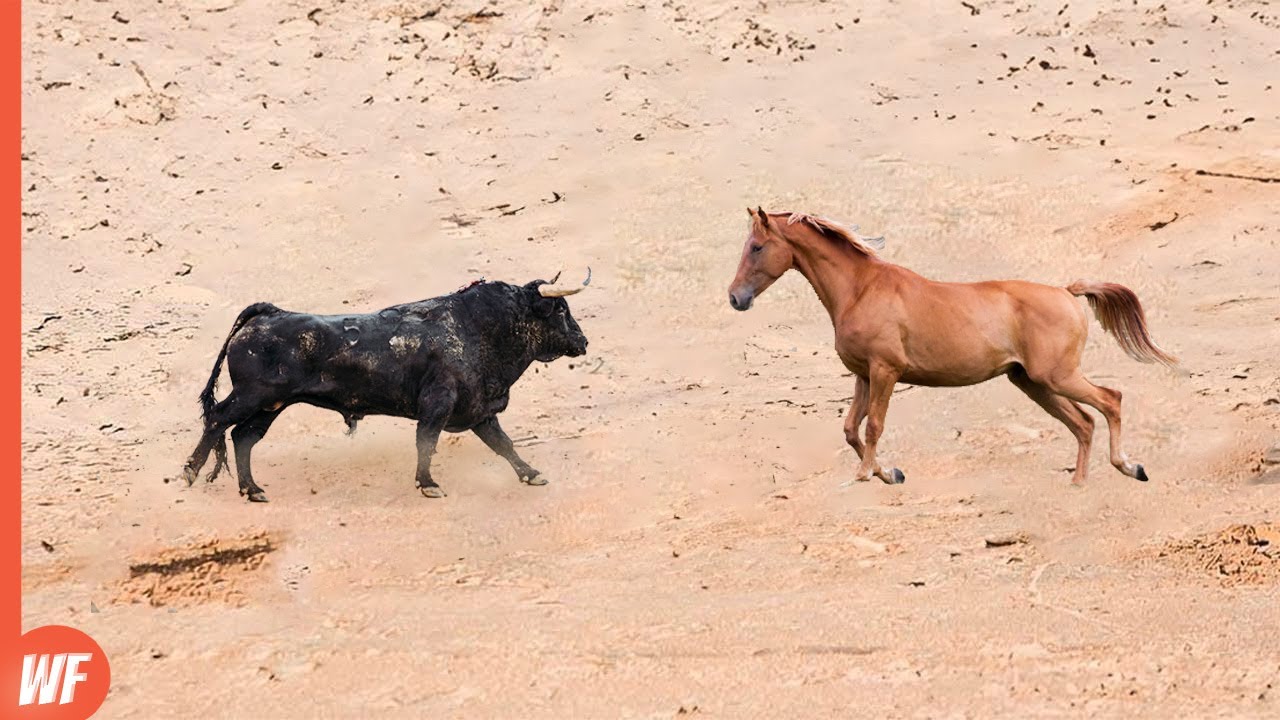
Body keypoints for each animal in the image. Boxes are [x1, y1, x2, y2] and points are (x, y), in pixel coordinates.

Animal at [727, 207, 1177, 486]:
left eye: (756, 247)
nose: (736, 298)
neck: (862, 289)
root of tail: (1067, 292)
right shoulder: (863, 375)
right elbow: (851, 429)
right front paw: (889, 474)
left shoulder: (886, 371)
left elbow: (873, 426)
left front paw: (866, 476)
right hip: (1032, 383)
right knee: (1083, 422)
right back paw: (1080, 483)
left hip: (1056, 377)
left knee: (1111, 400)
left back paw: (1129, 467)